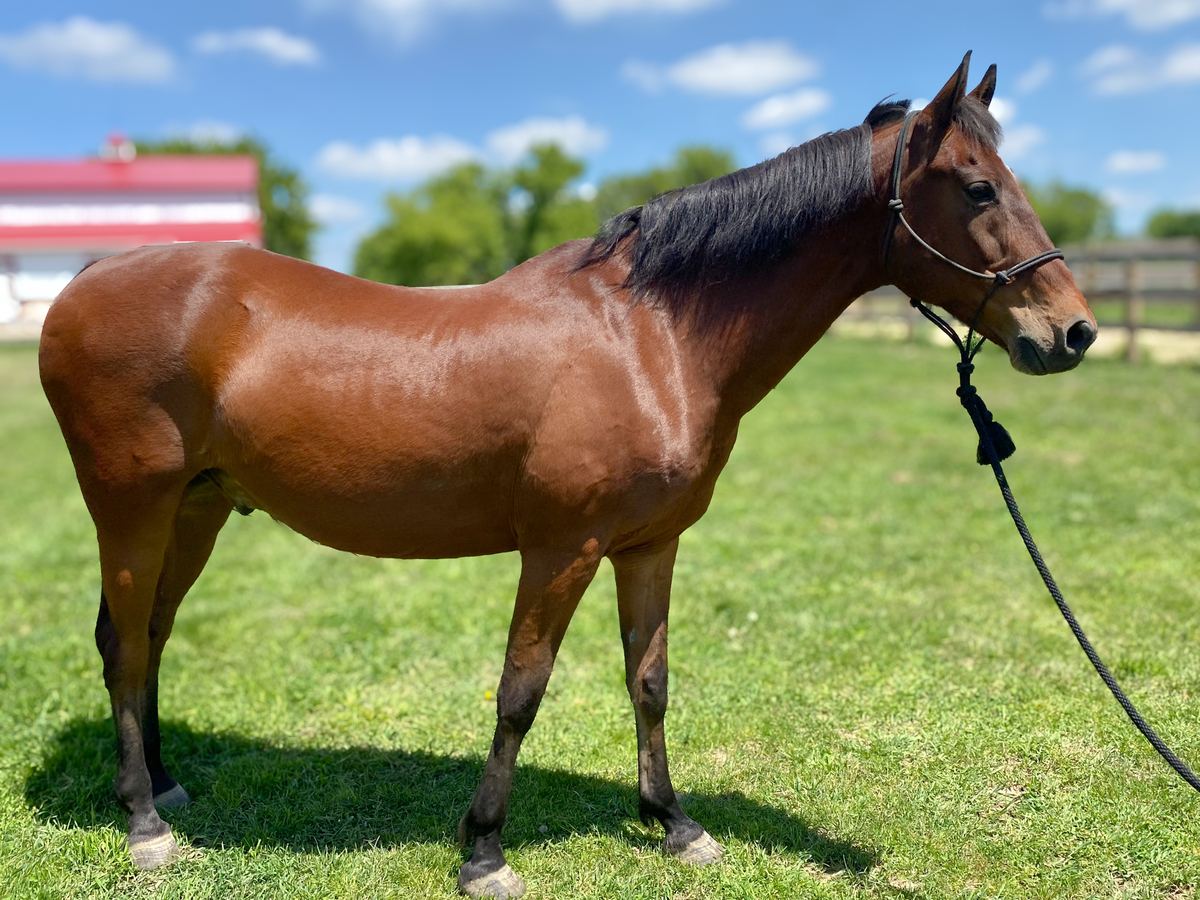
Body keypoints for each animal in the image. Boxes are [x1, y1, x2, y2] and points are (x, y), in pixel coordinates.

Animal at [39, 53, 1095, 899]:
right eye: (977, 188)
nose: (1073, 332)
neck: (652, 334)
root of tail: (87, 275)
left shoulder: (648, 545)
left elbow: (649, 679)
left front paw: (675, 824)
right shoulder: (561, 549)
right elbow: (521, 690)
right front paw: (484, 851)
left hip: (198, 509)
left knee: (151, 637)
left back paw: (164, 787)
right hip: (131, 507)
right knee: (124, 644)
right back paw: (145, 826)